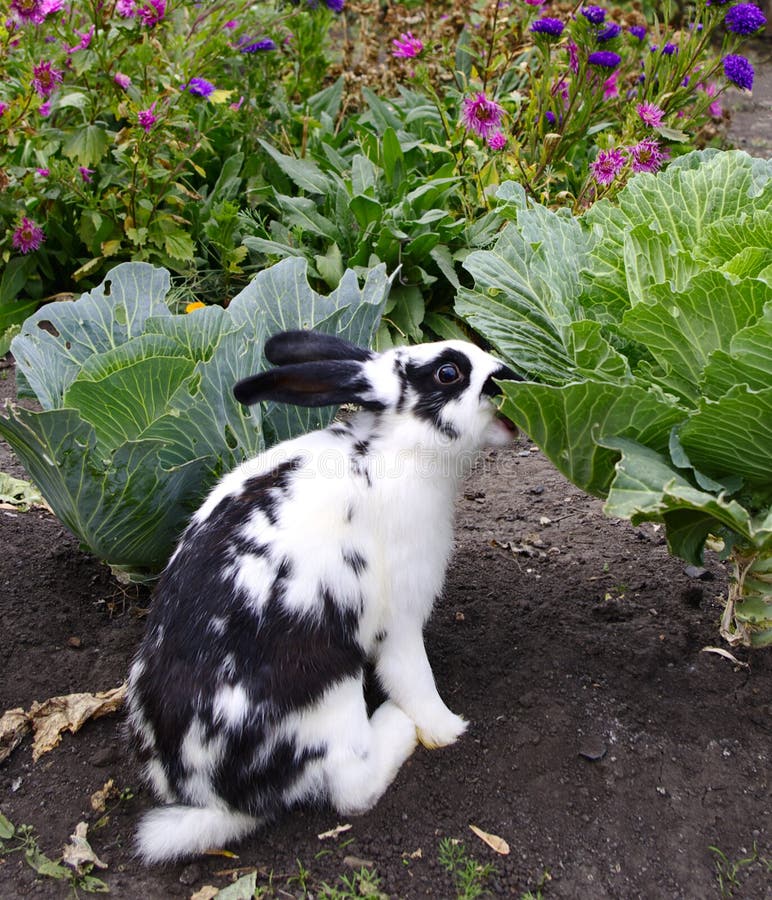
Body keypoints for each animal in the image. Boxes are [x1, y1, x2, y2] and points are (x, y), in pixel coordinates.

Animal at [126, 329, 518, 864]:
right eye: (449, 373)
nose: (508, 377)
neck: (391, 447)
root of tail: (222, 799)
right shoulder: (399, 616)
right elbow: (413, 678)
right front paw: (448, 728)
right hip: (330, 700)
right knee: (354, 786)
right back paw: (394, 726)